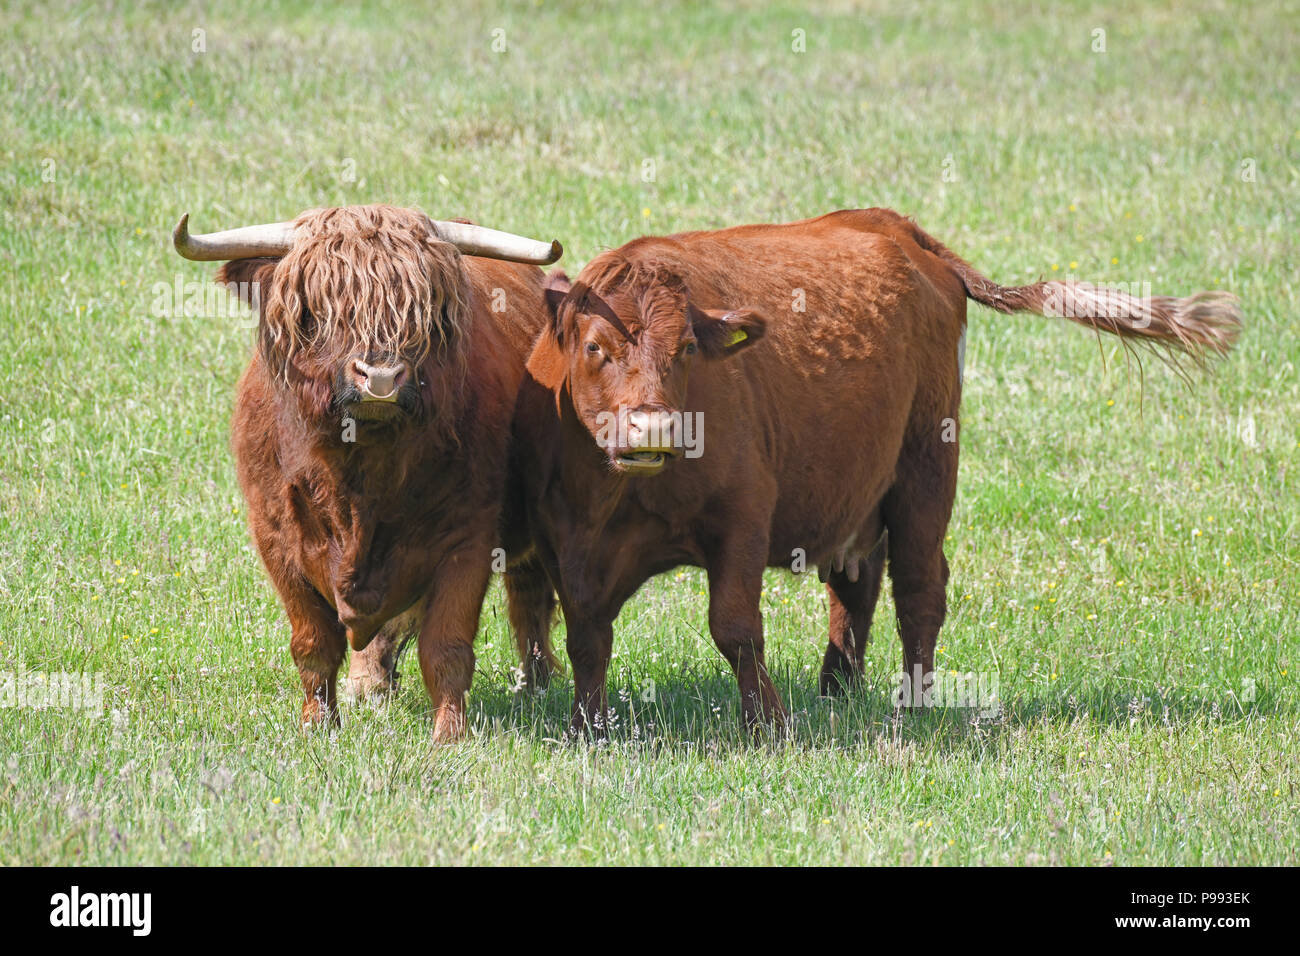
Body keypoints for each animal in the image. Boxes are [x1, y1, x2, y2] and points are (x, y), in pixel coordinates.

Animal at [173, 204, 563, 740]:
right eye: (317, 310)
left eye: (423, 309)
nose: (380, 377)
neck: (358, 480)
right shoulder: (276, 538)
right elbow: (313, 642)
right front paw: (318, 725)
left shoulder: (468, 538)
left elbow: (446, 647)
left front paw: (449, 736)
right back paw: (369, 687)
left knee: (529, 596)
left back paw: (535, 684)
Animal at [513, 207, 1241, 736]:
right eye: (595, 347)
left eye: (687, 348)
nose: (656, 428)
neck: (623, 499)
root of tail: (891, 223)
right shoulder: (567, 543)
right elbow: (586, 637)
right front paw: (587, 726)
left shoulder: (744, 516)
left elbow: (736, 628)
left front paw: (767, 723)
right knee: (856, 584)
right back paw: (836, 688)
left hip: (927, 466)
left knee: (920, 586)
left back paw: (909, 702)